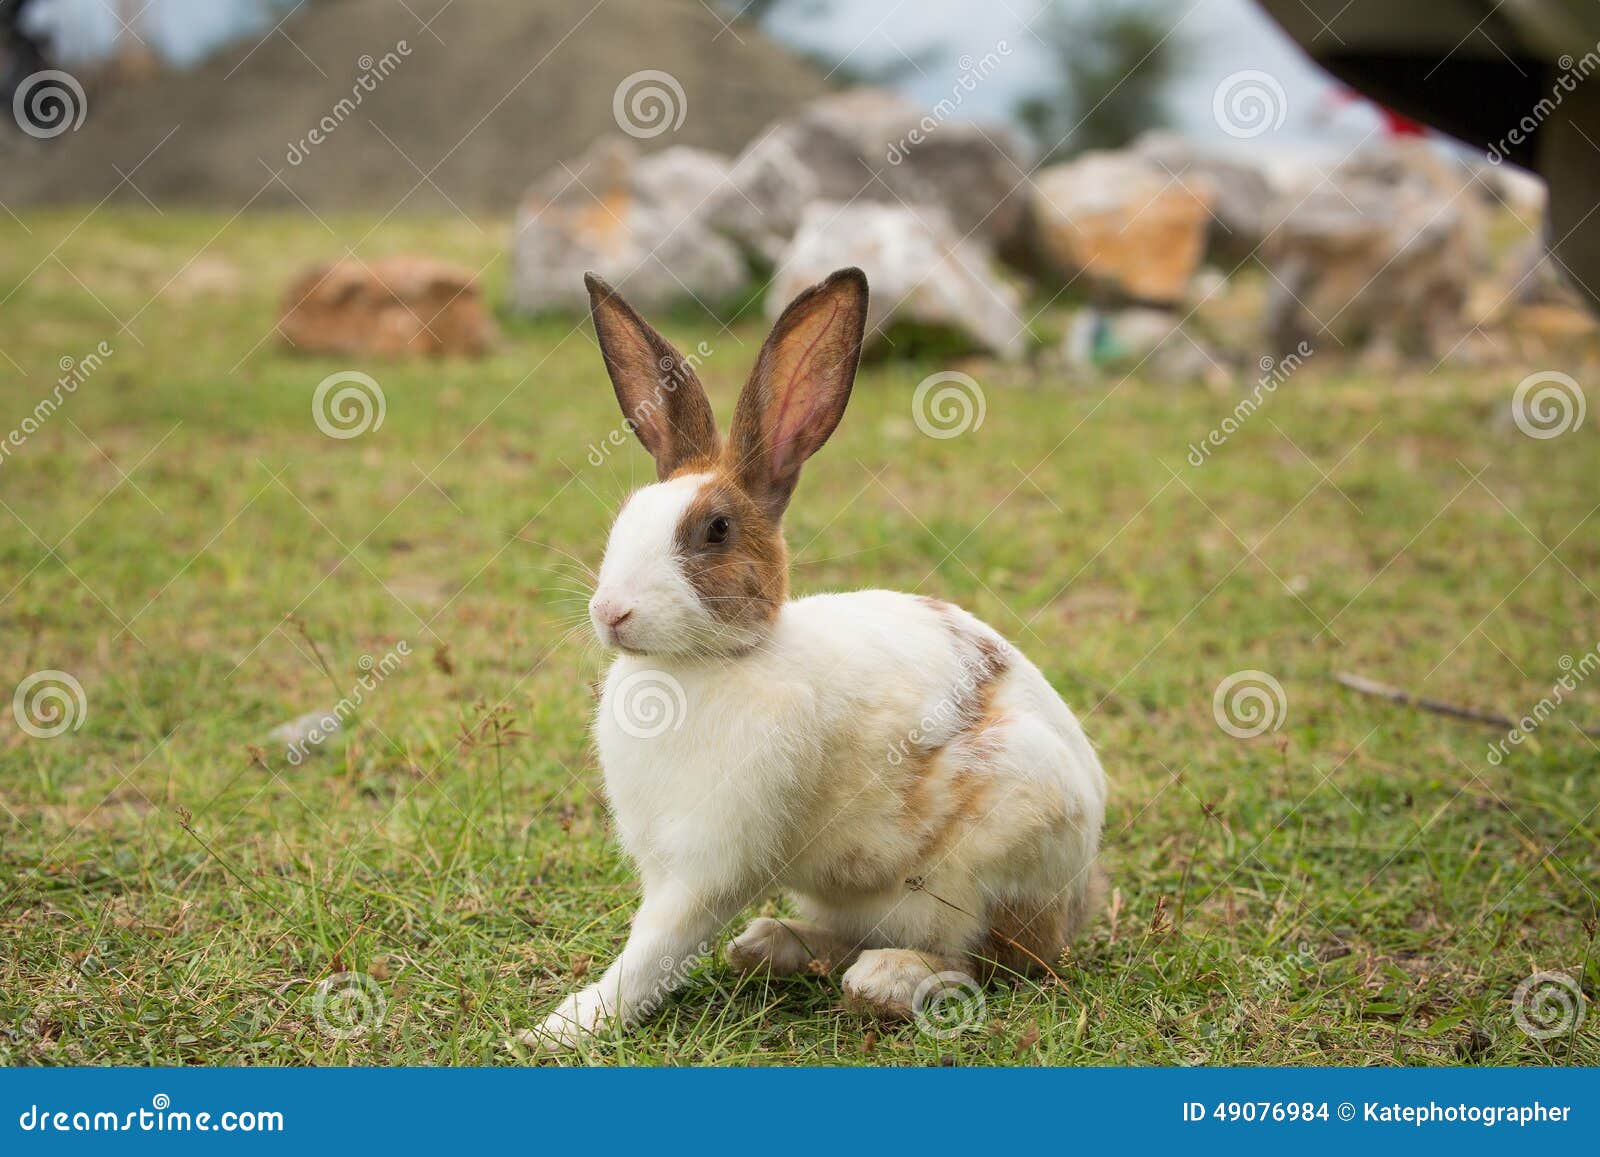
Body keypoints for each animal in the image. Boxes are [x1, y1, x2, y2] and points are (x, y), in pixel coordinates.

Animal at [521, 267, 1106, 1052]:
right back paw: (770, 945)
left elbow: (654, 947)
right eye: (625, 518)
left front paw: (562, 1028)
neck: (702, 665)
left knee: (984, 961)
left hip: (982, 865)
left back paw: (885, 981)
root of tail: (1075, 902)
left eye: (715, 529)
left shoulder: (707, 866)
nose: (610, 612)